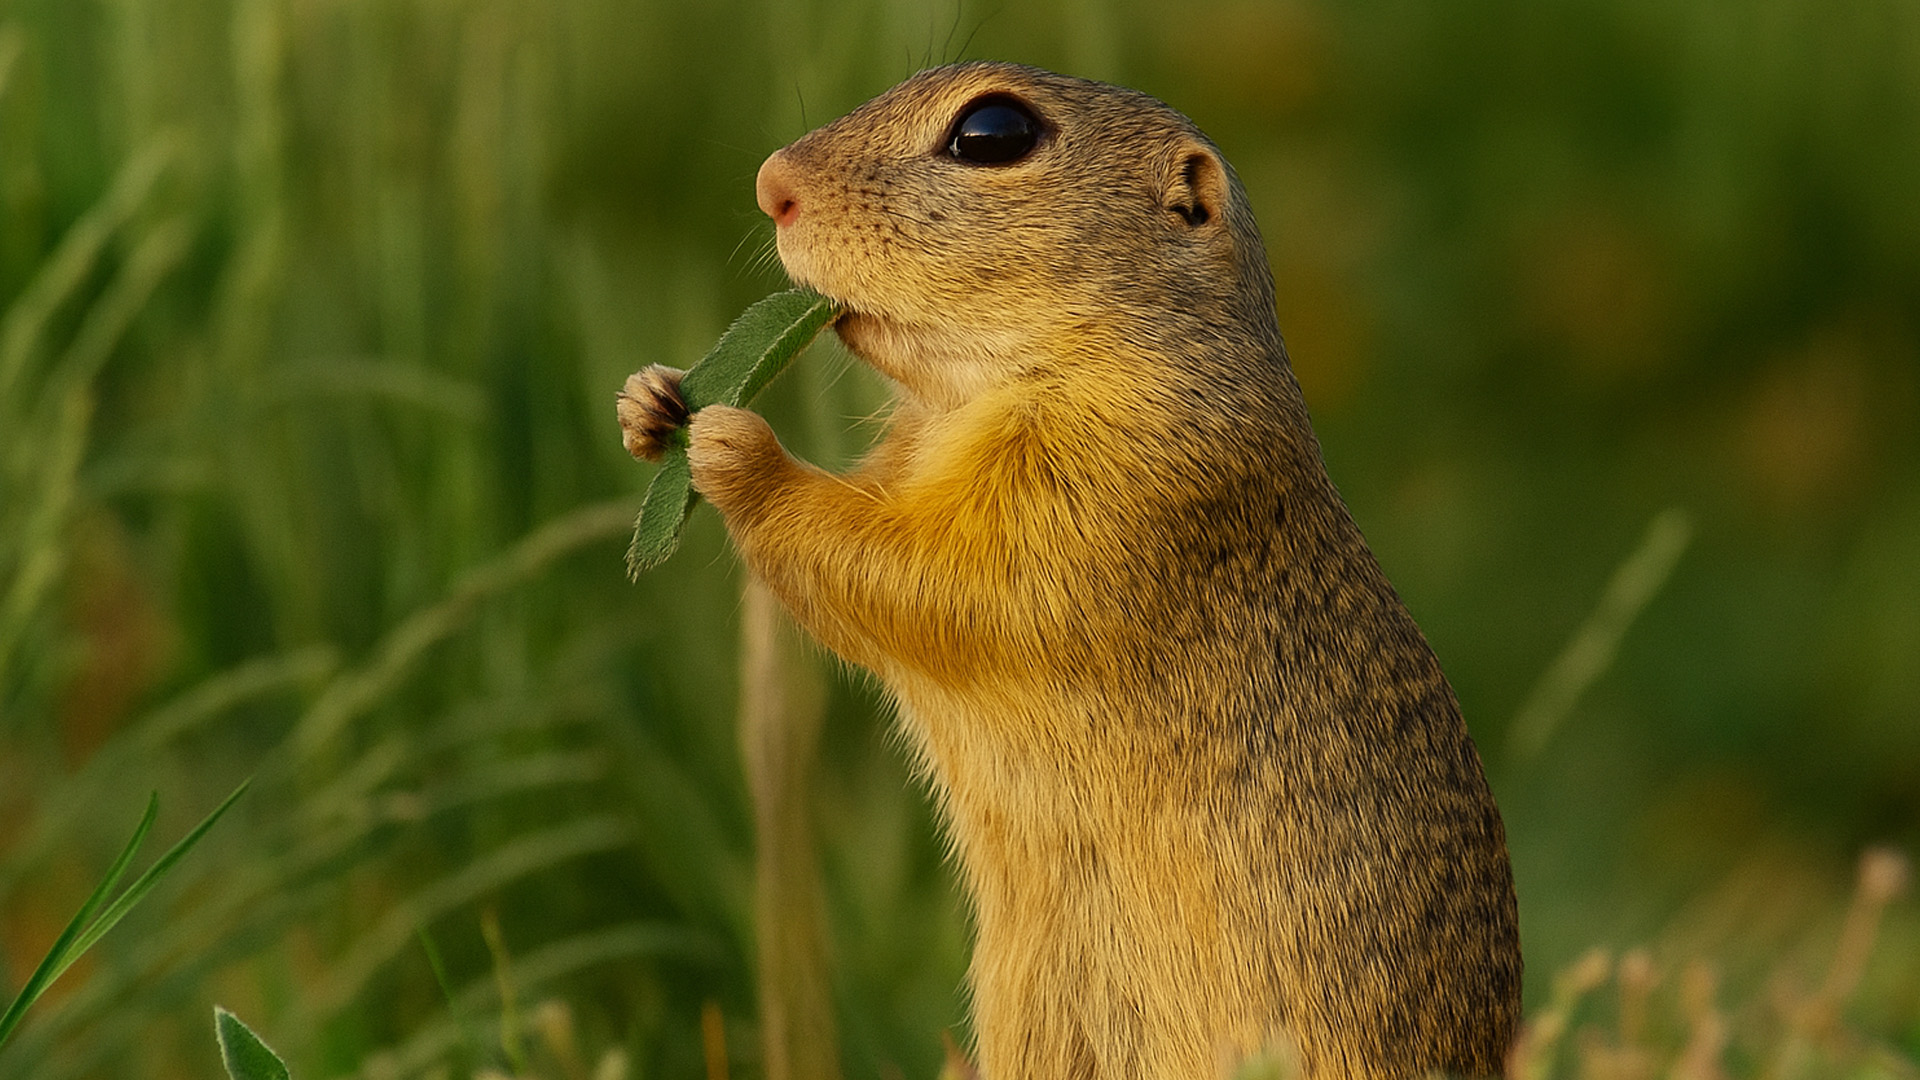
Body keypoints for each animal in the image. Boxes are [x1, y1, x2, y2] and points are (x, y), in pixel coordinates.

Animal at [619, 62, 1521, 1080]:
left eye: (992, 132)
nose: (771, 184)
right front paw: (651, 402)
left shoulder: (1119, 490)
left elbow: (933, 579)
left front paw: (738, 451)